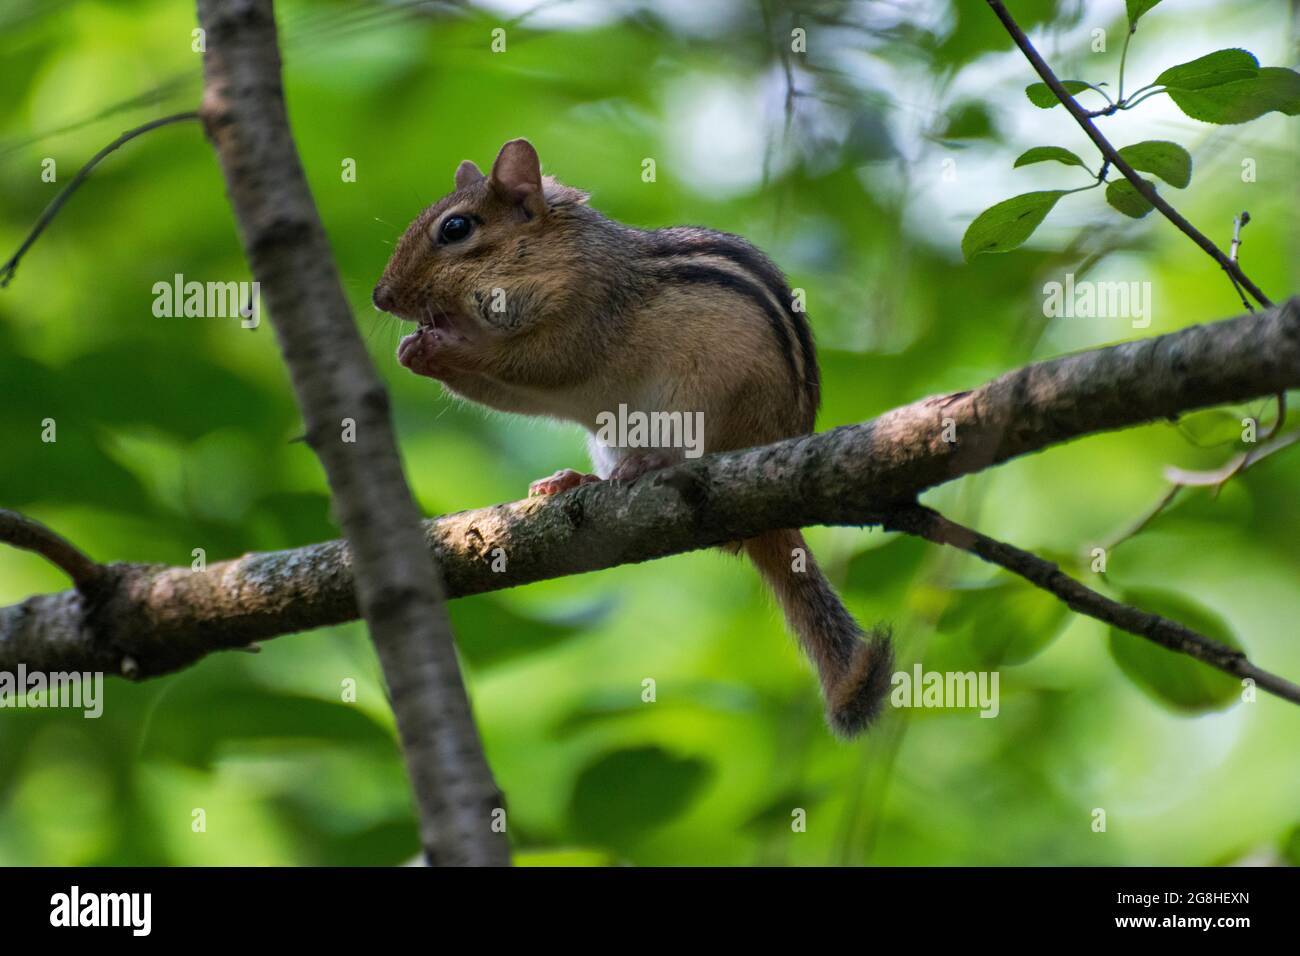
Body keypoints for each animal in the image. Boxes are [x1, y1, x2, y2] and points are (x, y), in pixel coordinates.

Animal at [373, 138, 893, 737]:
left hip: (701, 404)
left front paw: (441, 347)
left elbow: (536, 362)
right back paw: (573, 481)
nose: (380, 296)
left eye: (455, 228)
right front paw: (413, 350)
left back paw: (648, 464)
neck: (548, 256)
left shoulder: (581, 313)